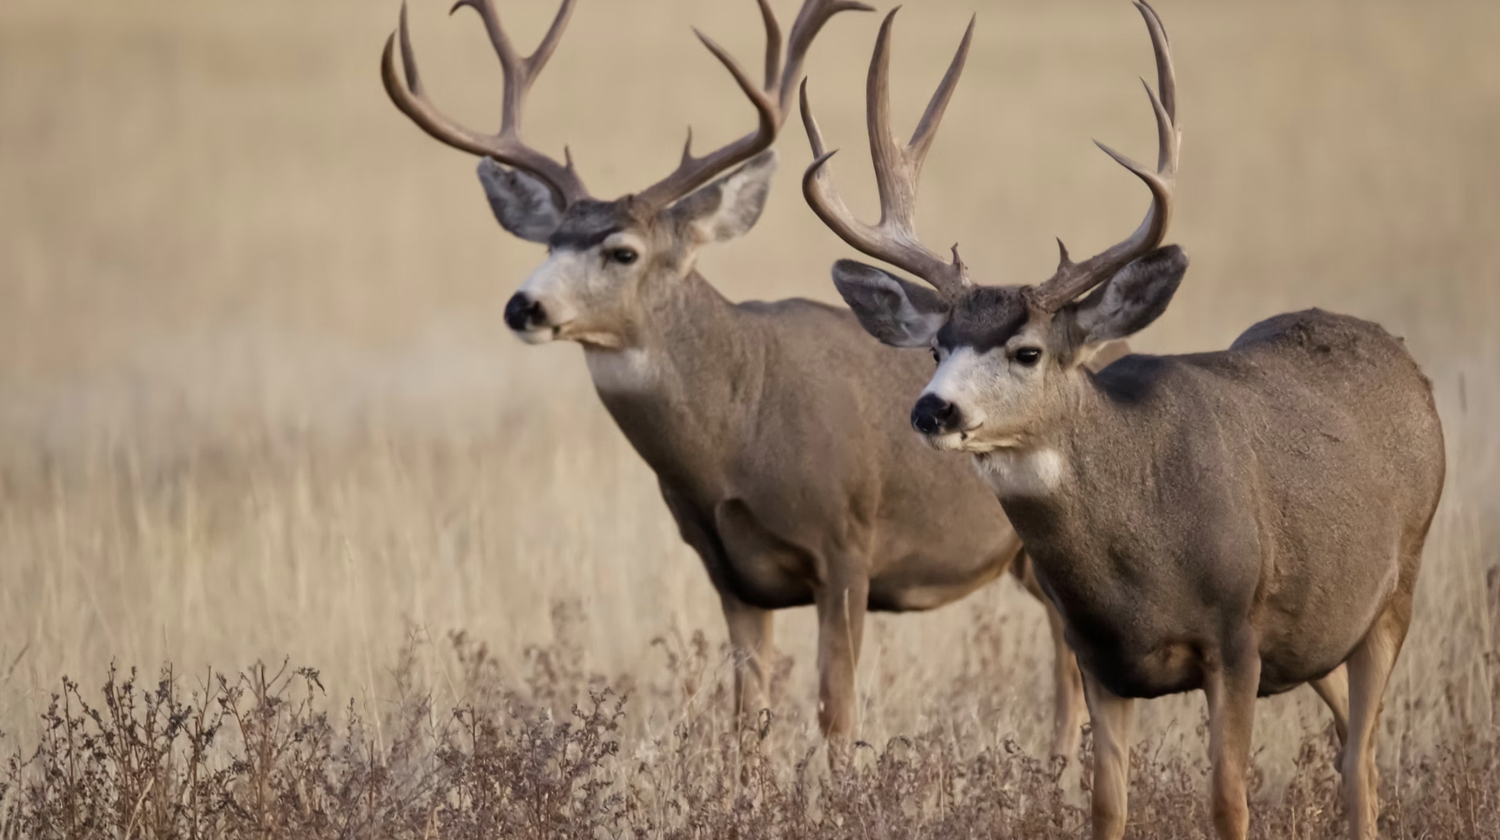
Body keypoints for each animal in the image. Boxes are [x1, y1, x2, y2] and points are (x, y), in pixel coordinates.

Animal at [380, 0, 1113, 765]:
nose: (525, 306)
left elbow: (836, 716)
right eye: (549, 242)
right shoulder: (730, 573)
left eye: (622, 251)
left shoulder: (847, 547)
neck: (738, 432)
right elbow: (745, 721)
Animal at [799, 2, 1444, 836]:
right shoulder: (1098, 655)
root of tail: (1407, 363)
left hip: (1398, 585)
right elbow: (1105, 804)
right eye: (937, 346)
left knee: (1362, 763)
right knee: (1350, 750)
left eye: (1028, 351)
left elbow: (1228, 801)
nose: (933, 408)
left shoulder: (1237, 638)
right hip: (1324, 627)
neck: (1140, 557)